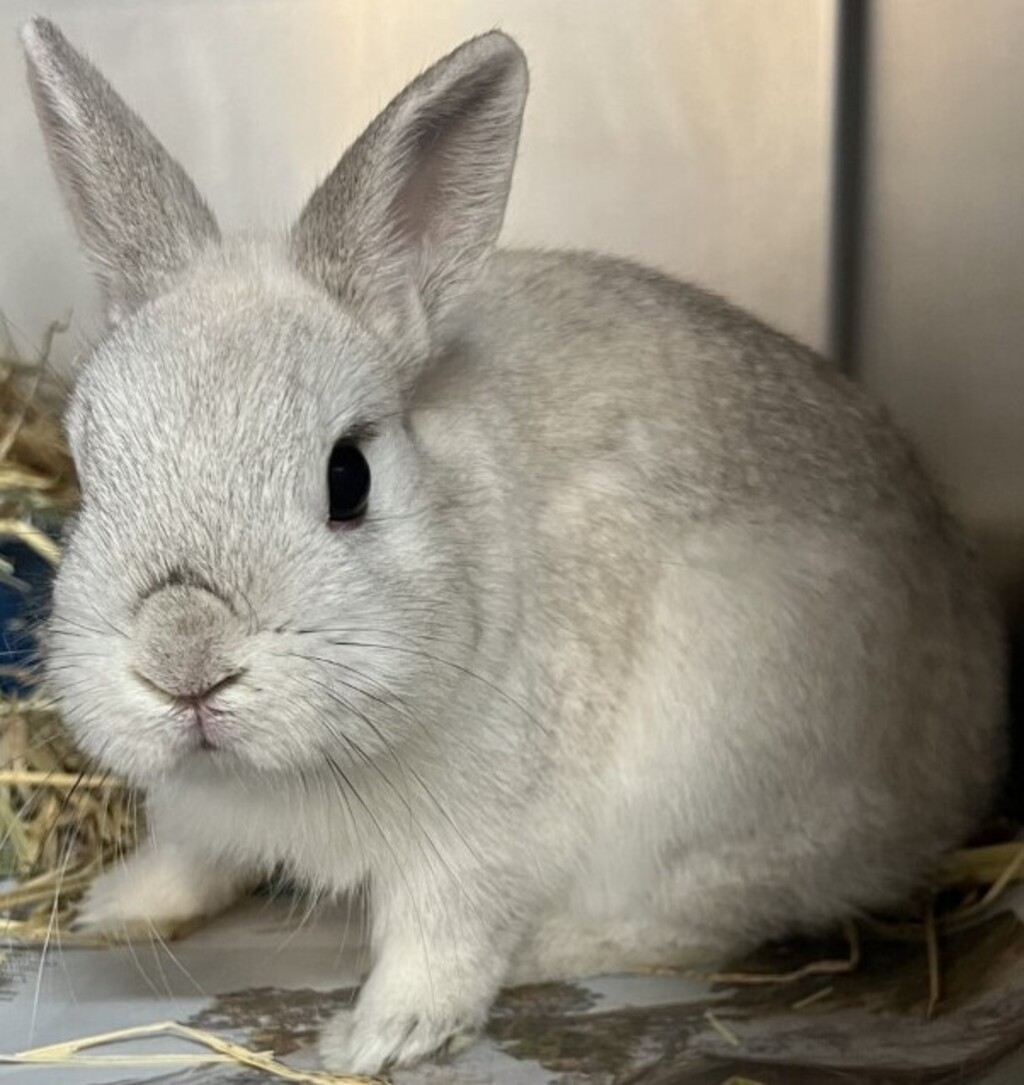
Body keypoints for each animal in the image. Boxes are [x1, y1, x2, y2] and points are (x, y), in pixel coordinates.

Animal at [22, 16, 1005, 1074]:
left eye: (348, 477)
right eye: (86, 467)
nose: (184, 664)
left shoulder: (478, 841)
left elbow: (441, 937)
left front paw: (378, 1038)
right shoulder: (193, 812)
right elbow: (187, 857)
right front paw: (113, 910)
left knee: (692, 921)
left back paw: (553, 946)